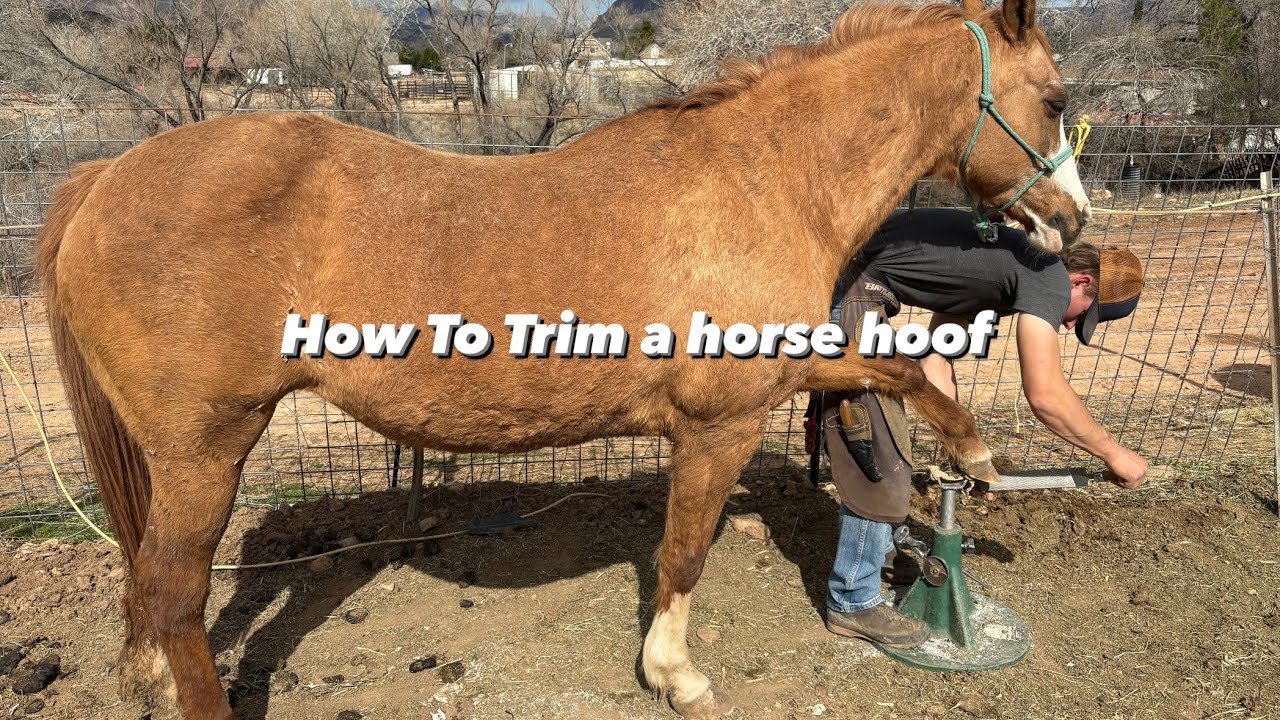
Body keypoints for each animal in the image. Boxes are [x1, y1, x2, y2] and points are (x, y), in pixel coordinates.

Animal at [37, 0, 1087, 717]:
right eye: (1056, 99)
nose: (1072, 224)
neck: (763, 179)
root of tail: (106, 176)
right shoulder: (719, 423)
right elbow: (683, 552)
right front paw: (674, 675)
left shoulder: (781, 372)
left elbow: (896, 369)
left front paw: (974, 453)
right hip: (205, 450)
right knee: (174, 594)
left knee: (148, 587)